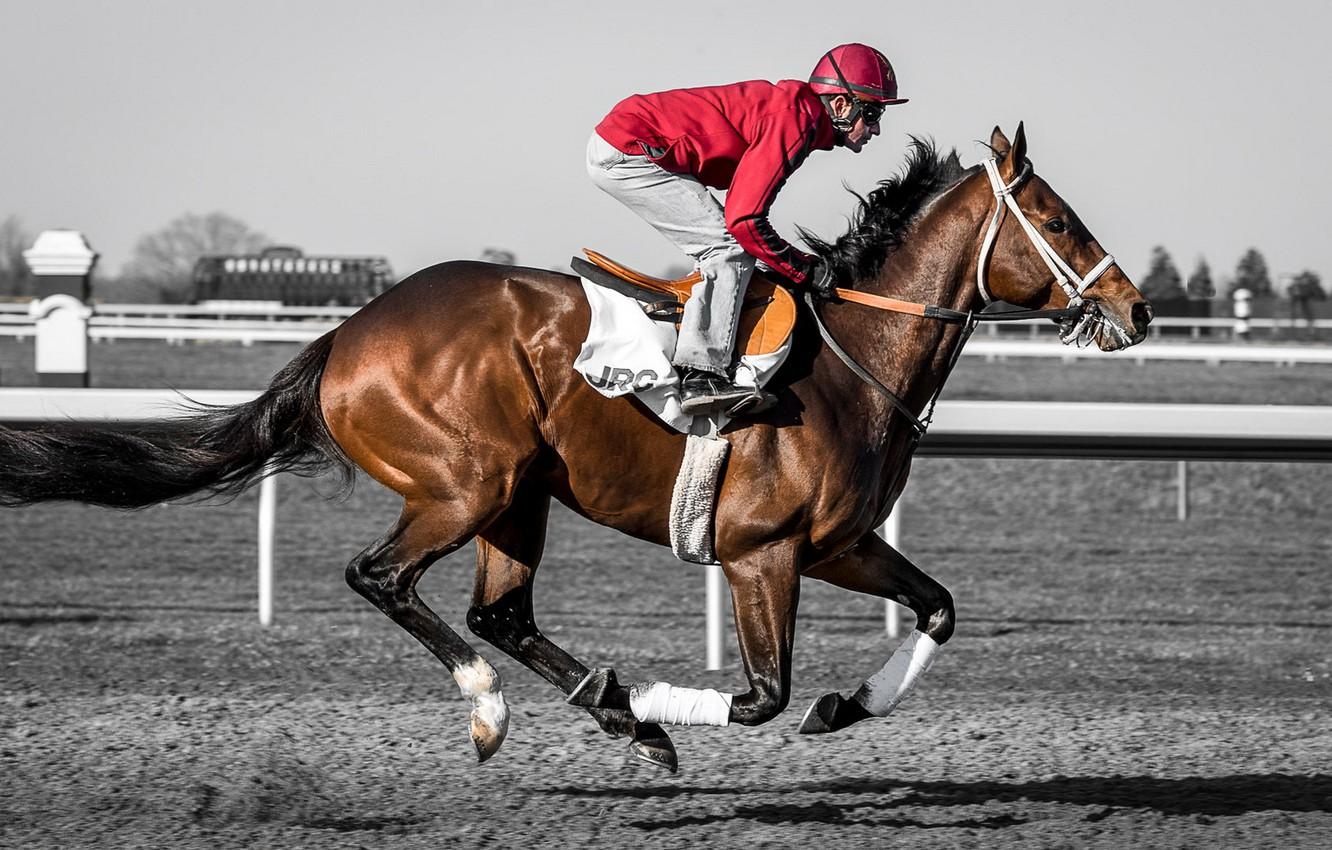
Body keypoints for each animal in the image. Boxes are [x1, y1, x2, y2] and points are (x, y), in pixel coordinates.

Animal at [0, 125, 1151, 773]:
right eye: (1058, 218)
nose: (1135, 309)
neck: (847, 360)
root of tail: (346, 335)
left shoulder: (839, 543)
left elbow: (938, 609)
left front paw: (844, 705)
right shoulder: (761, 554)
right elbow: (762, 692)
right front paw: (668, 699)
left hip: (519, 498)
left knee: (498, 612)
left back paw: (610, 712)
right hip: (467, 484)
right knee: (383, 578)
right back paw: (504, 710)